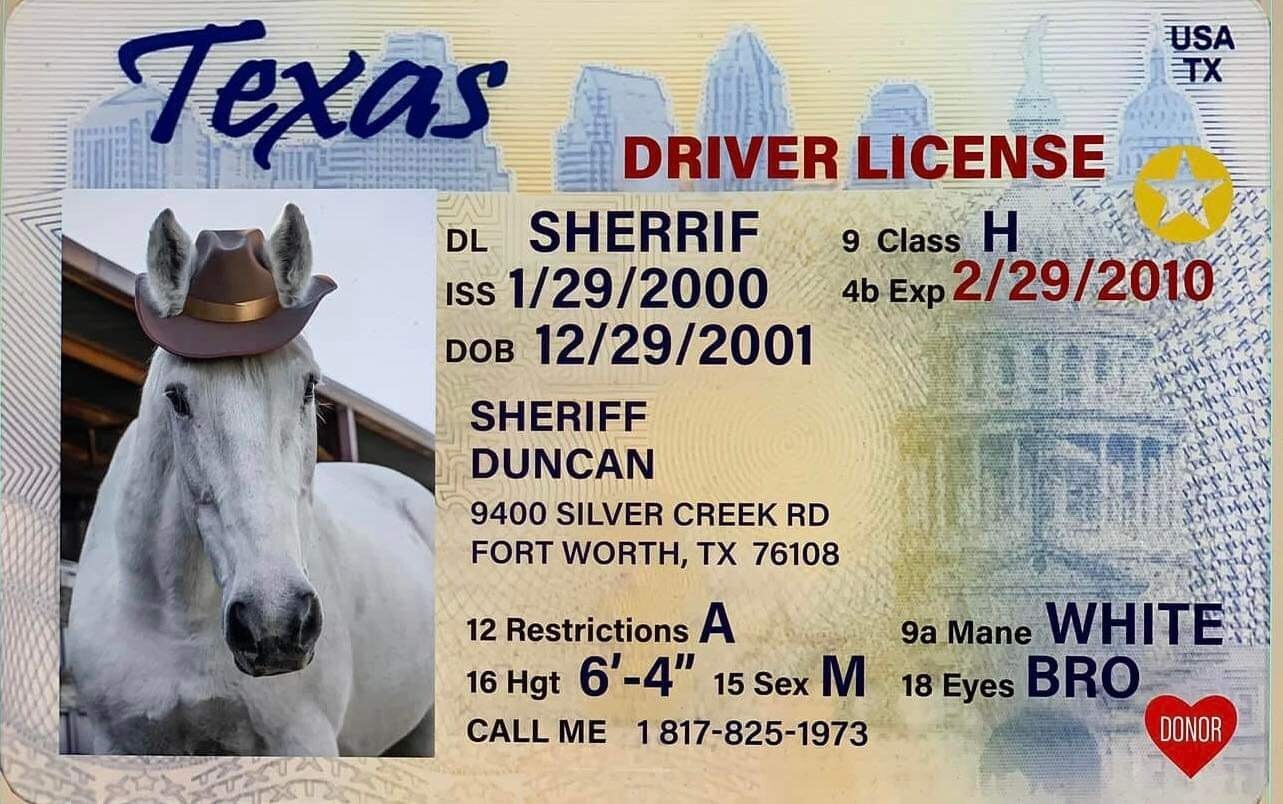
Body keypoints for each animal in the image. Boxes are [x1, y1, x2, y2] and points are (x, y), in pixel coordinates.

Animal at [65, 205, 435, 757]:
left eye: (309, 385)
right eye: (178, 397)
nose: (274, 623)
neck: (175, 623)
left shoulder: (303, 741)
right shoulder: (117, 745)